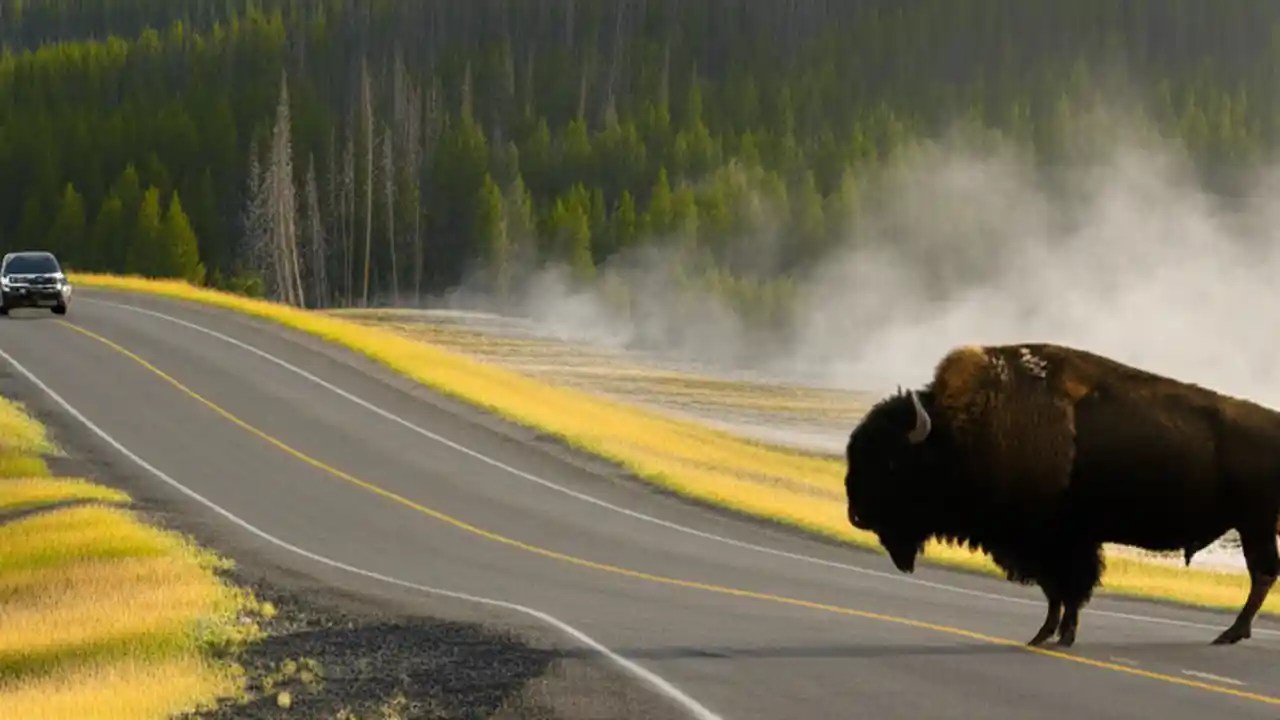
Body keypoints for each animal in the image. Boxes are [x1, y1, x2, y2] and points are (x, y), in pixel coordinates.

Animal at [843, 342, 1280, 647]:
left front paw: (1060, 635)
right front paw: (1046, 634)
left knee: (1262, 573)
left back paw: (1229, 633)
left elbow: (1068, 588)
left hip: (1255, 524)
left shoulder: (1059, 541)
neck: (959, 432)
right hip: (1253, 526)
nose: (857, 515)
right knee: (1263, 574)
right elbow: (1057, 592)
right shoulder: (1045, 546)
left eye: (892, 464)